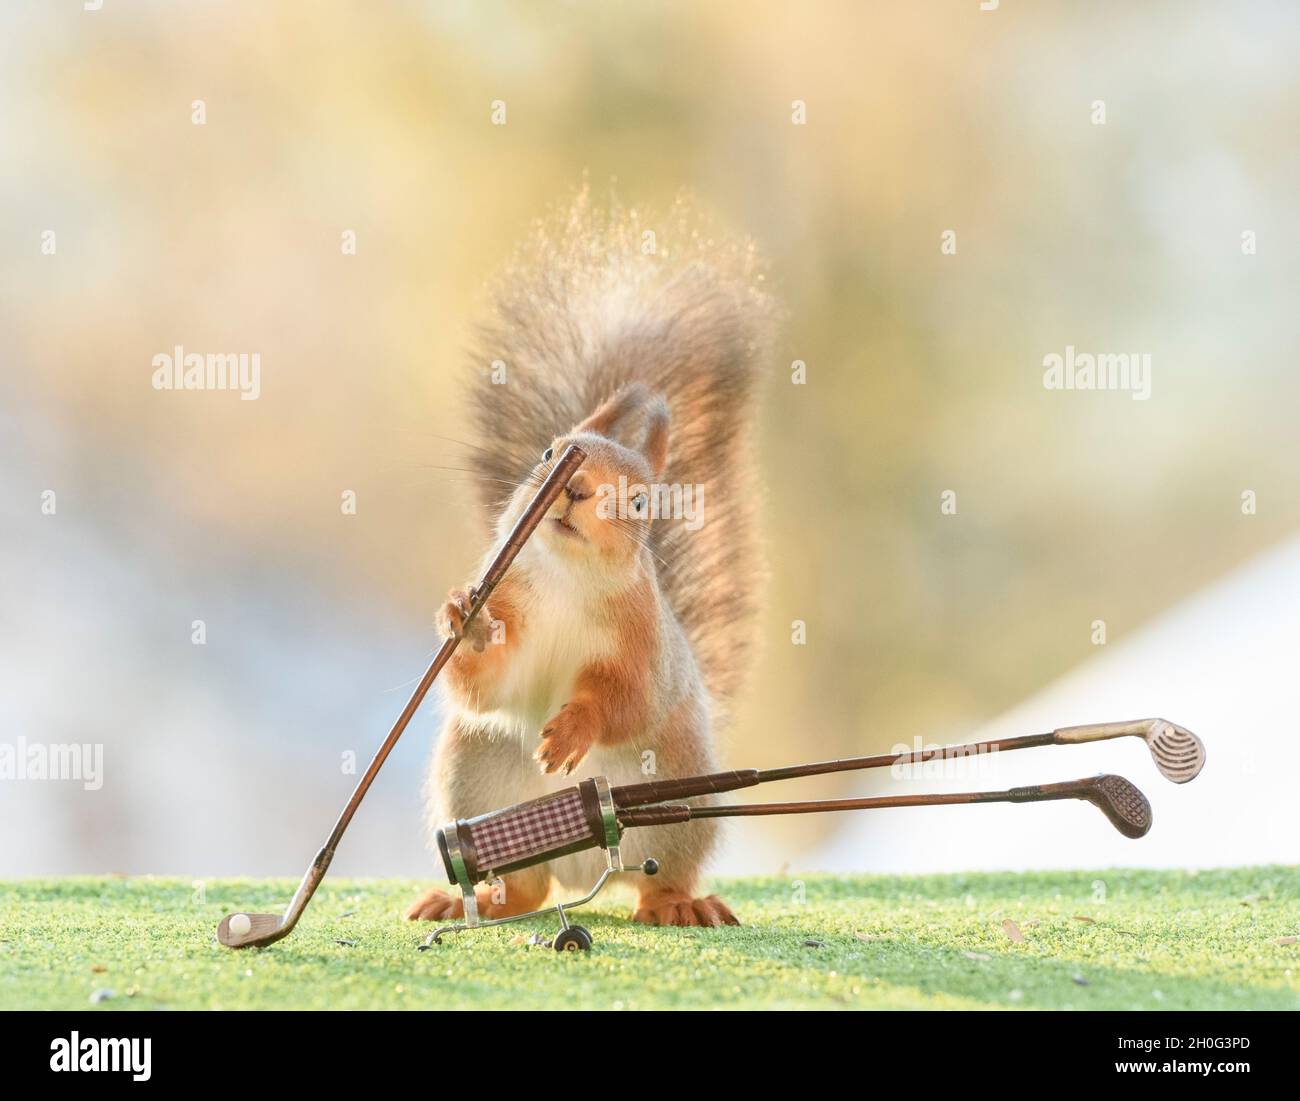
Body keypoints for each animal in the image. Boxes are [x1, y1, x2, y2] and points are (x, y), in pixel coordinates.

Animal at [405, 192, 774, 927]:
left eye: (639, 500)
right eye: (551, 453)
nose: (575, 487)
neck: (565, 580)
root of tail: (580, 864)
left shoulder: (643, 643)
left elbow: (627, 699)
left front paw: (571, 732)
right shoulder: (513, 601)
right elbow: (485, 687)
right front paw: (464, 616)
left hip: (677, 804)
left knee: (661, 874)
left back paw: (678, 905)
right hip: (473, 776)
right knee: (527, 887)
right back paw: (471, 897)